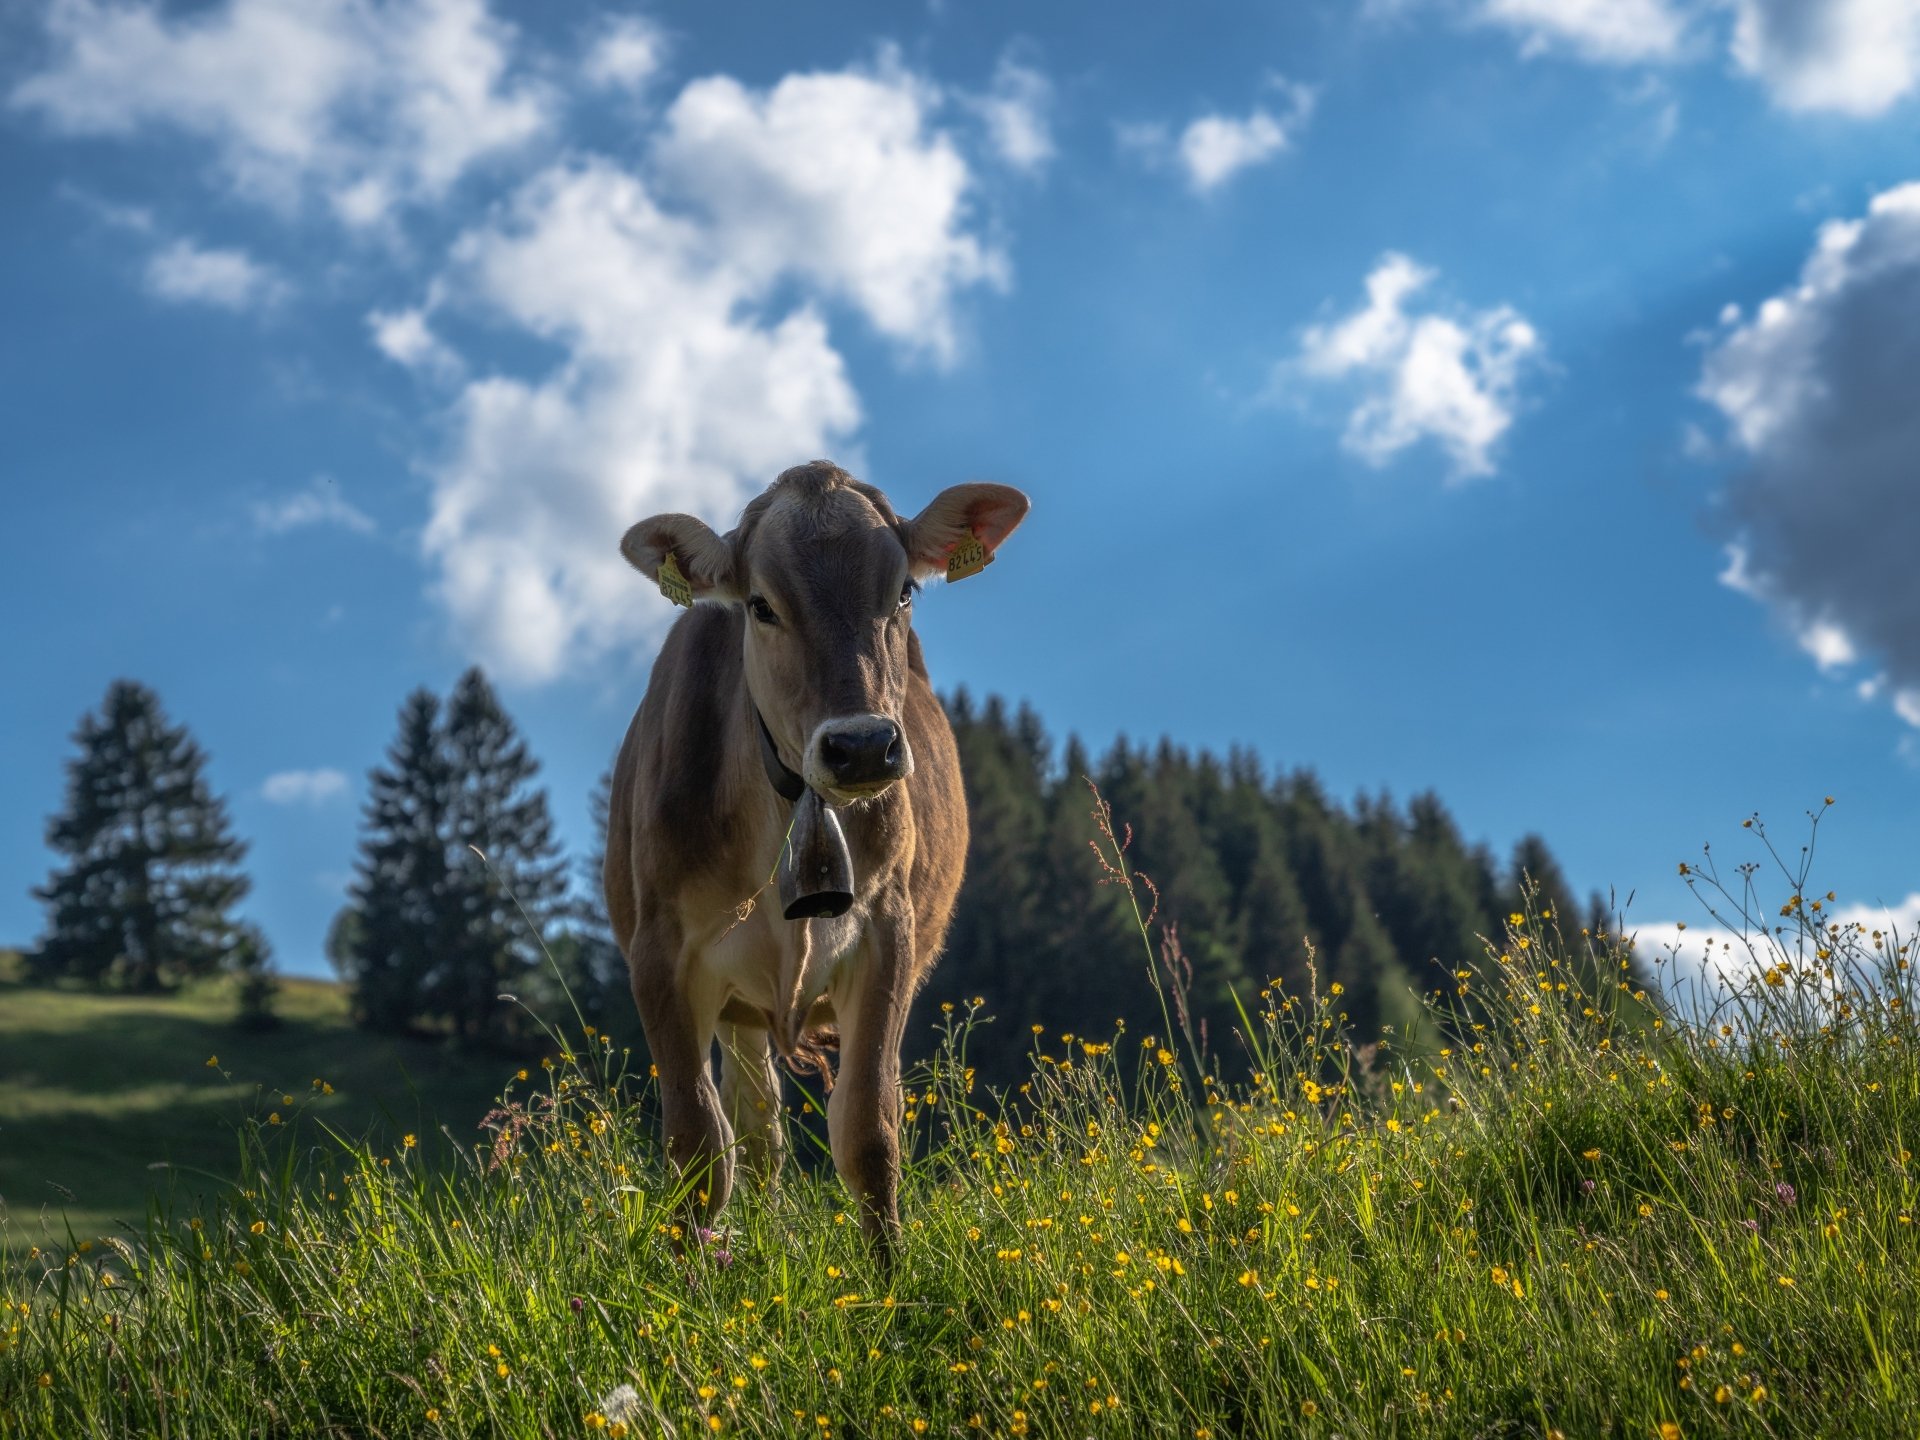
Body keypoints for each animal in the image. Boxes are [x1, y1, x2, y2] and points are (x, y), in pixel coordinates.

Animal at [605, 460, 1029, 1259]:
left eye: (904, 592)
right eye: (760, 606)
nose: (861, 746)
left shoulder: (886, 935)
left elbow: (867, 1131)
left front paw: (890, 1279)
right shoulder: (661, 955)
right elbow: (698, 1147)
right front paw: (686, 1282)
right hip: (738, 1005)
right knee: (755, 1128)